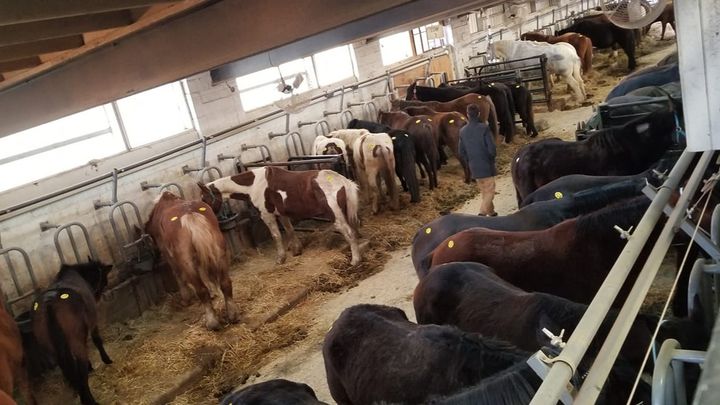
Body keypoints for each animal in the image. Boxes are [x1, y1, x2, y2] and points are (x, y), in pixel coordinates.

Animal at [31, 260, 114, 405]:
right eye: (103, 279)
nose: (98, 295)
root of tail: (50, 303)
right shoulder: (93, 322)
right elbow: (97, 340)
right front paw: (106, 360)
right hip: (75, 342)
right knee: (80, 372)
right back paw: (89, 400)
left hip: (53, 348)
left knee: (68, 369)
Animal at [145, 191, 240, 330]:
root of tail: (190, 215)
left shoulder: (170, 257)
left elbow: (178, 276)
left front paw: (185, 299)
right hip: (220, 254)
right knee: (225, 283)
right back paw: (232, 315)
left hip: (187, 263)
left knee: (201, 290)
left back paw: (212, 322)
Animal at [199, 167, 362, 265]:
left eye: (204, 199)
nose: (209, 218)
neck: (253, 184)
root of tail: (343, 181)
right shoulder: (282, 214)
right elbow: (289, 230)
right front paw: (296, 251)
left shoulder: (267, 215)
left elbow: (276, 236)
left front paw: (280, 258)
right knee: (354, 230)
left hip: (336, 216)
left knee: (349, 233)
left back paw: (355, 260)